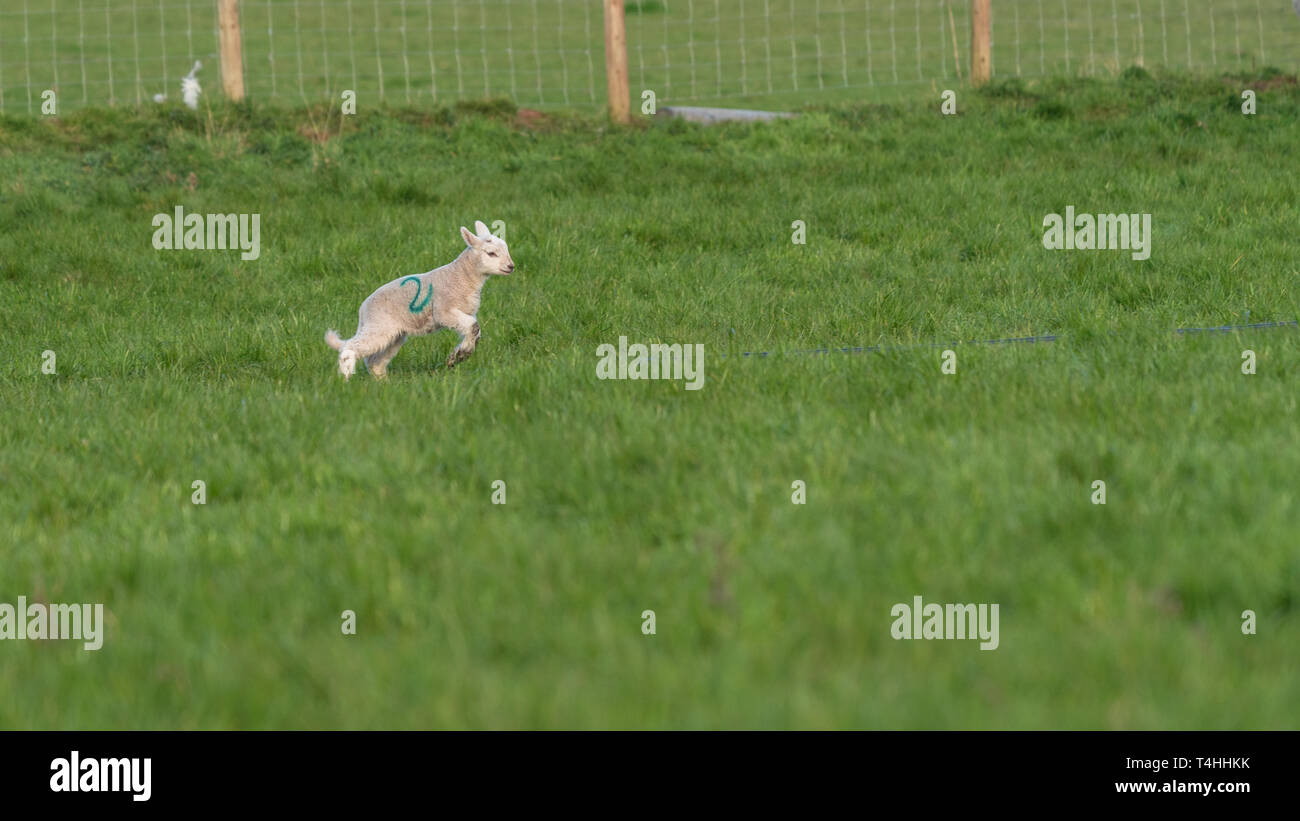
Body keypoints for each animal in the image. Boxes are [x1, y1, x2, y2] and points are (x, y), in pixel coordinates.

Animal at [325, 220, 515, 380]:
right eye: (491, 253)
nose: (511, 266)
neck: (462, 276)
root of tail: (363, 309)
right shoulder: (444, 311)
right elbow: (474, 327)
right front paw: (460, 355)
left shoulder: (466, 312)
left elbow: (475, 332)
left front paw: (459, 355)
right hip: (379, 325)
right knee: (349, 348)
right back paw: (345, 380)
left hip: (394, 334)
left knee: (374, 362)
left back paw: (384, 384)